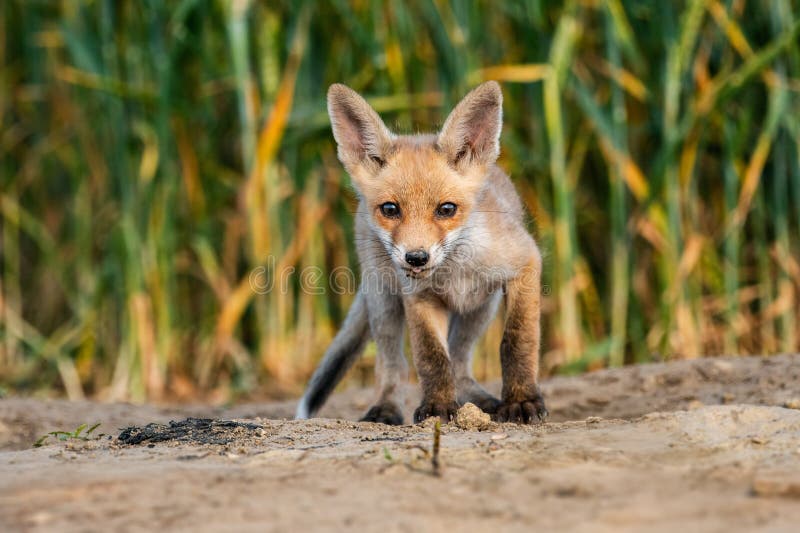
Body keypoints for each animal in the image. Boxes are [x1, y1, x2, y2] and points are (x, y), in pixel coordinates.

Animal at [295, 81, 547, 425]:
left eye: (446, 209)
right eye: (390, 209)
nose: (416, 258)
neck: (455, 270)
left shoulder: (524, 263)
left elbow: (516, 340)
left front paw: (521, 400)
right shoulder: (418, 296)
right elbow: (431, 357)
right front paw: (438, 407)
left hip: (480, 308)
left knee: (461, 362)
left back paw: (482, 401)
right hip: (383, 302)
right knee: (393, 365)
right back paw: (386, 408)